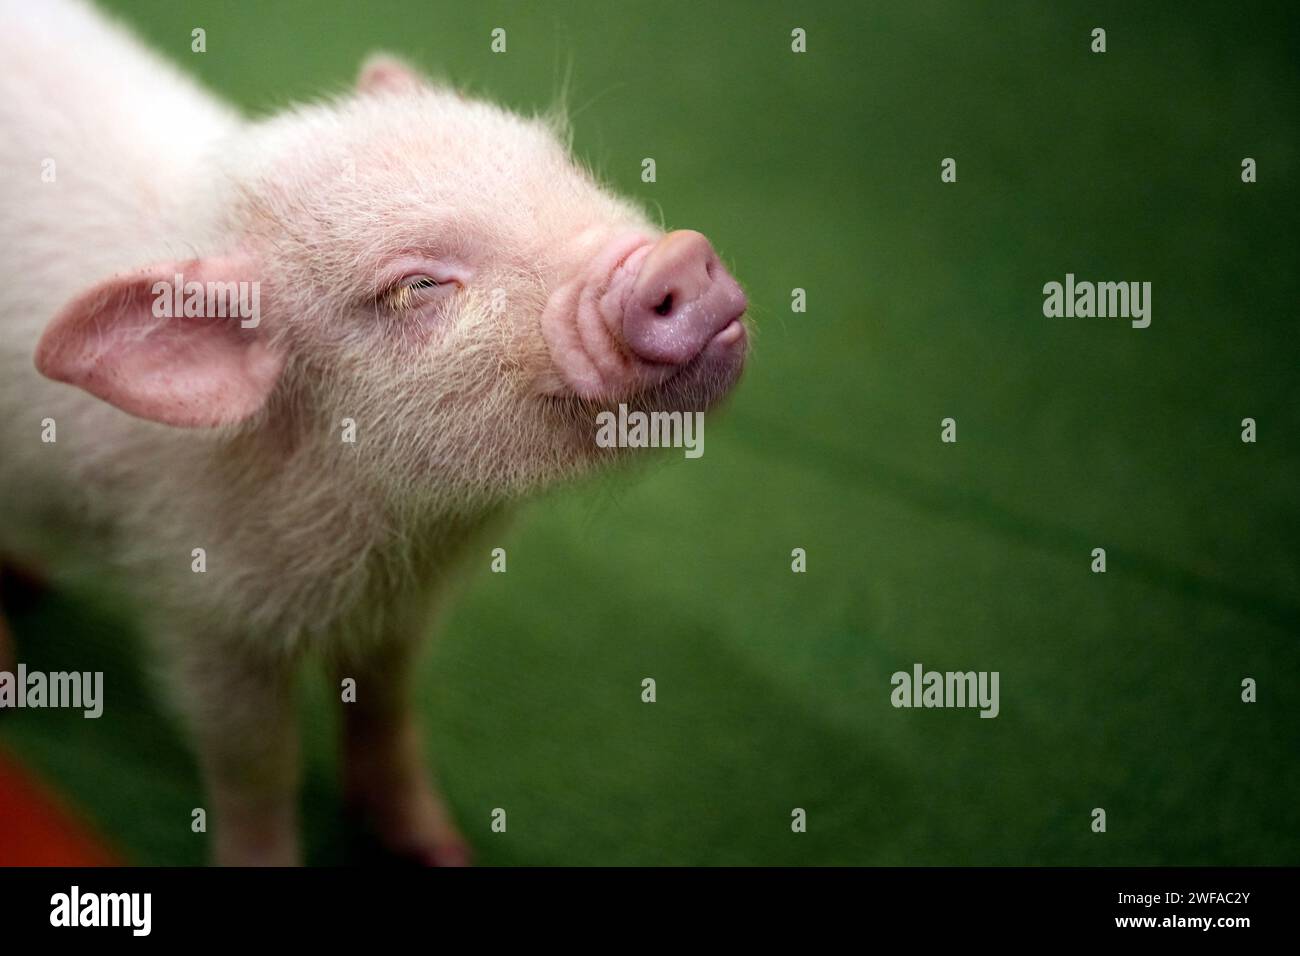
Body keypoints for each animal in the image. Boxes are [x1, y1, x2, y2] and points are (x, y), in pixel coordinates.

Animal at [0, 0, 747, 865]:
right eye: (416, 286)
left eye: (563, 166)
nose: (679, 258)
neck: (387, 536)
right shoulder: (206, 611)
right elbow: (256, 763)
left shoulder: (399, 612)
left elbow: (387, 711)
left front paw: (442, 849)